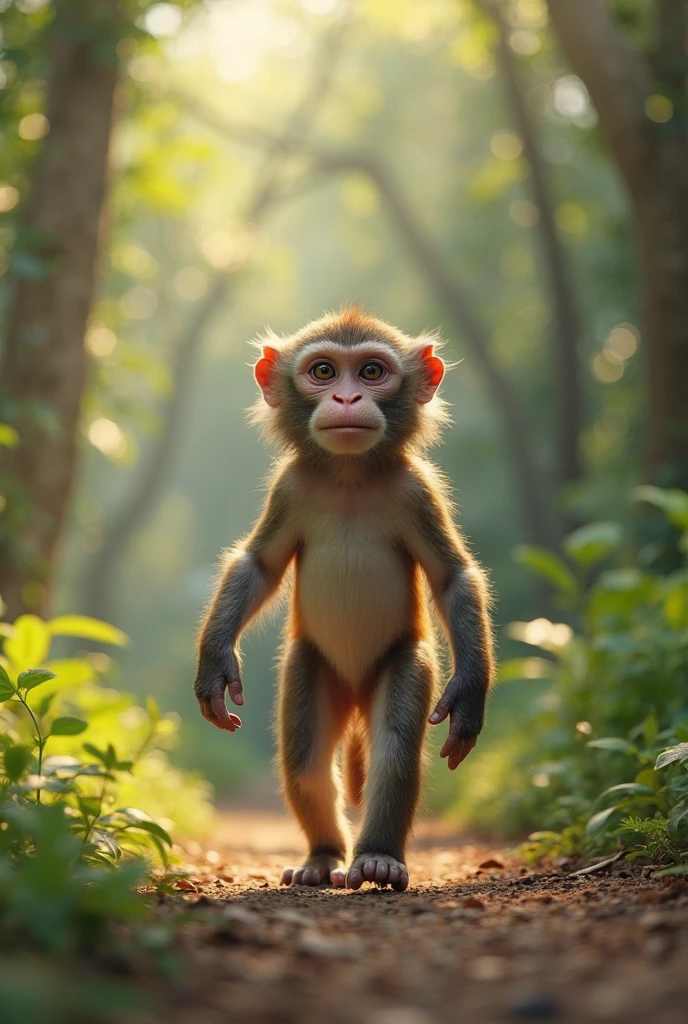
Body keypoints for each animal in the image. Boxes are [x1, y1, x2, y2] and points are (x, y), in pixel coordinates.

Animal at [193, 307, 494, 892]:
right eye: (324, 371)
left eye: (373, 371)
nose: (349, 398)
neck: (350, 477)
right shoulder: (289, 488)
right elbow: (257, 566)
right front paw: (215, 664)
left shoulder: (418, 490)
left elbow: (453, 578)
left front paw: (469, 696)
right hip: (311, 666)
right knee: (306, 760)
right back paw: (323, 855)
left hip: (400, 662)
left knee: (394, 751)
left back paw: (377, 857)